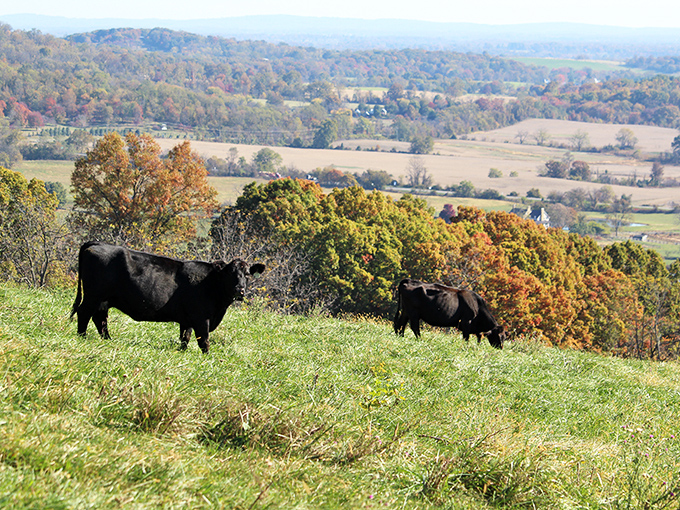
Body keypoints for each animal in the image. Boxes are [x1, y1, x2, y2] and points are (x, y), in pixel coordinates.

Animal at [70, 241, 265, 353]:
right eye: (229, 273)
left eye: (247, 274)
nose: (240, 290)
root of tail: (95, 244)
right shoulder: (201, 318)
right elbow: (204, 341)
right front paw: (207, 357)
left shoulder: (187, 320)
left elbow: (185, 338)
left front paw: (182, 352)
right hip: (93, 296)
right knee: (83, 313)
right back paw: (82, 337)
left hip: (103, 300)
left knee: (100, 319)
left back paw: (108, 340)